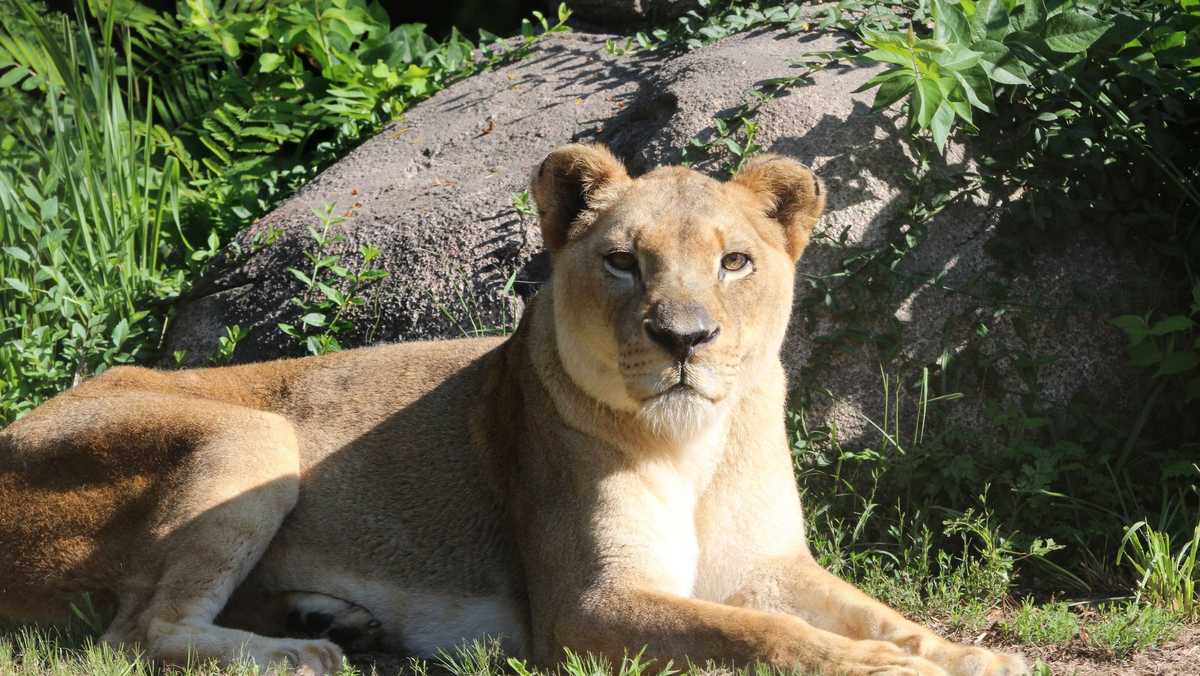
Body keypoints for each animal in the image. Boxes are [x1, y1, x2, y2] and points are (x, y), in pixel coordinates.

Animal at [0, 145, 1026, 675]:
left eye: (735, 261)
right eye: (624, 261)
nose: (685, 339)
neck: (697, 441)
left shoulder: (770, 564)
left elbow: (880, 614)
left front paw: (966, 659)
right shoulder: (584, 607)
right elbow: (765, 636)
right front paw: (890, 669)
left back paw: (331, 622)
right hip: (254, 432)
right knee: (135, 636)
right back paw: (305, 655)